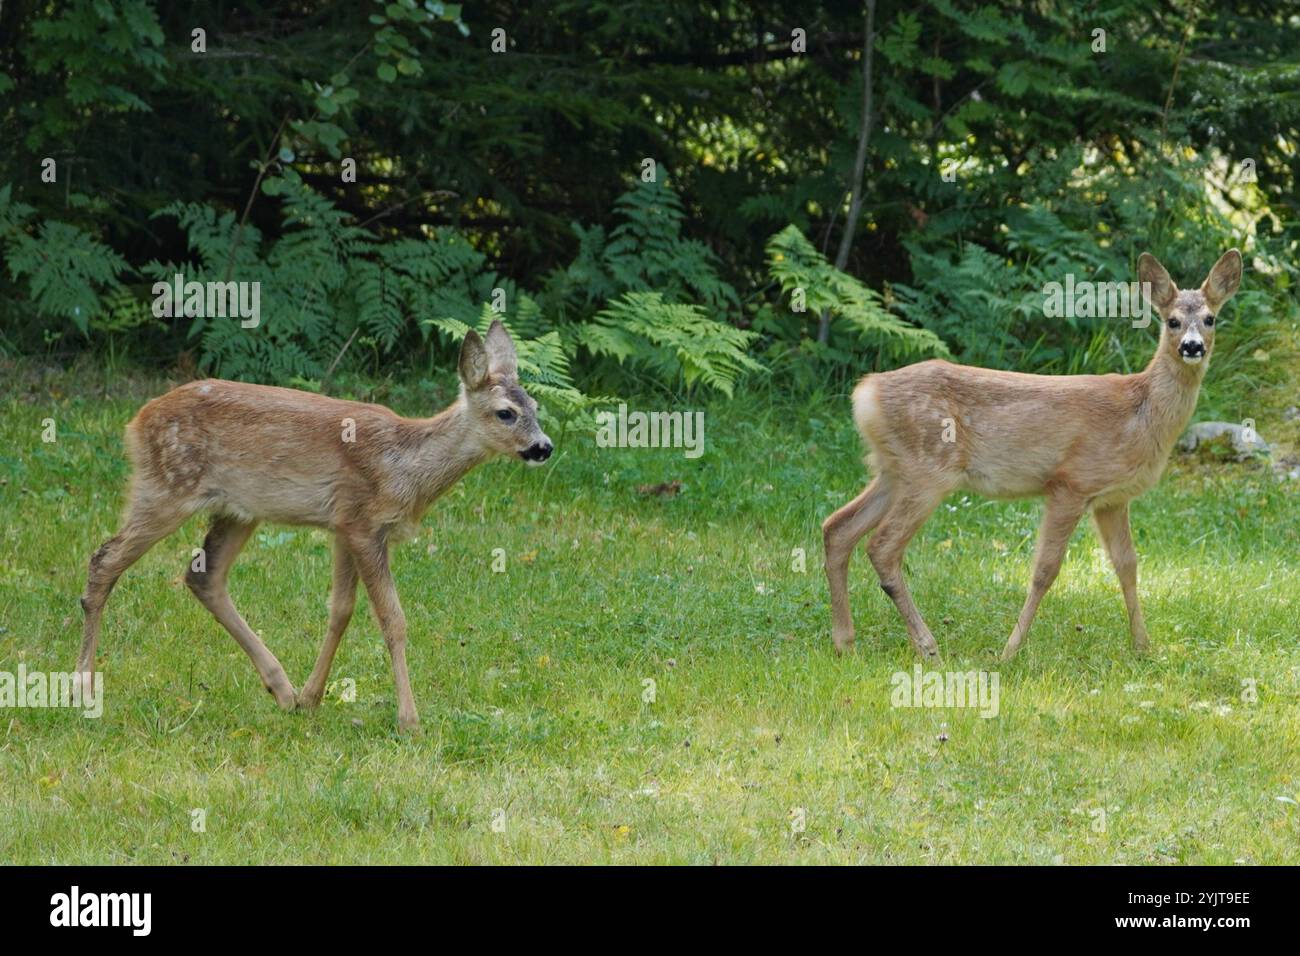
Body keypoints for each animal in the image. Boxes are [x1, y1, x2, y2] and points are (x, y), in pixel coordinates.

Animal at [76, 320, 552, 731]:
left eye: (535, 407)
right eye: (506, 413)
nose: (544, 447)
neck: (404, 466)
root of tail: (135, 422)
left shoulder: (342, 525)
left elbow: (340, 610)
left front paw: (311, 697)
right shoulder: (363, 522)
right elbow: (393, 620)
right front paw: (409, 721)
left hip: (237, 510)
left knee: (202, 575)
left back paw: (282, 689)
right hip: (166, 487)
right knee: (104, 559)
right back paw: (83, 689)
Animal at [822, 250, 1242, 662]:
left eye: (1210, 318)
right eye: (1172, 321)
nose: (1192, 346)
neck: (1140, 413)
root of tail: (866, 393)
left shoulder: (1112, 498)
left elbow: (1127, 564)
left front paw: (1143, 646)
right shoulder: (1071, 482)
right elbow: (1046, 569)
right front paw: (1009, 652)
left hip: (893, 470)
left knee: (837, 527)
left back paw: (845, 643)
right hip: (928, 470)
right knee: (882, 546)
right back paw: (927, 647)